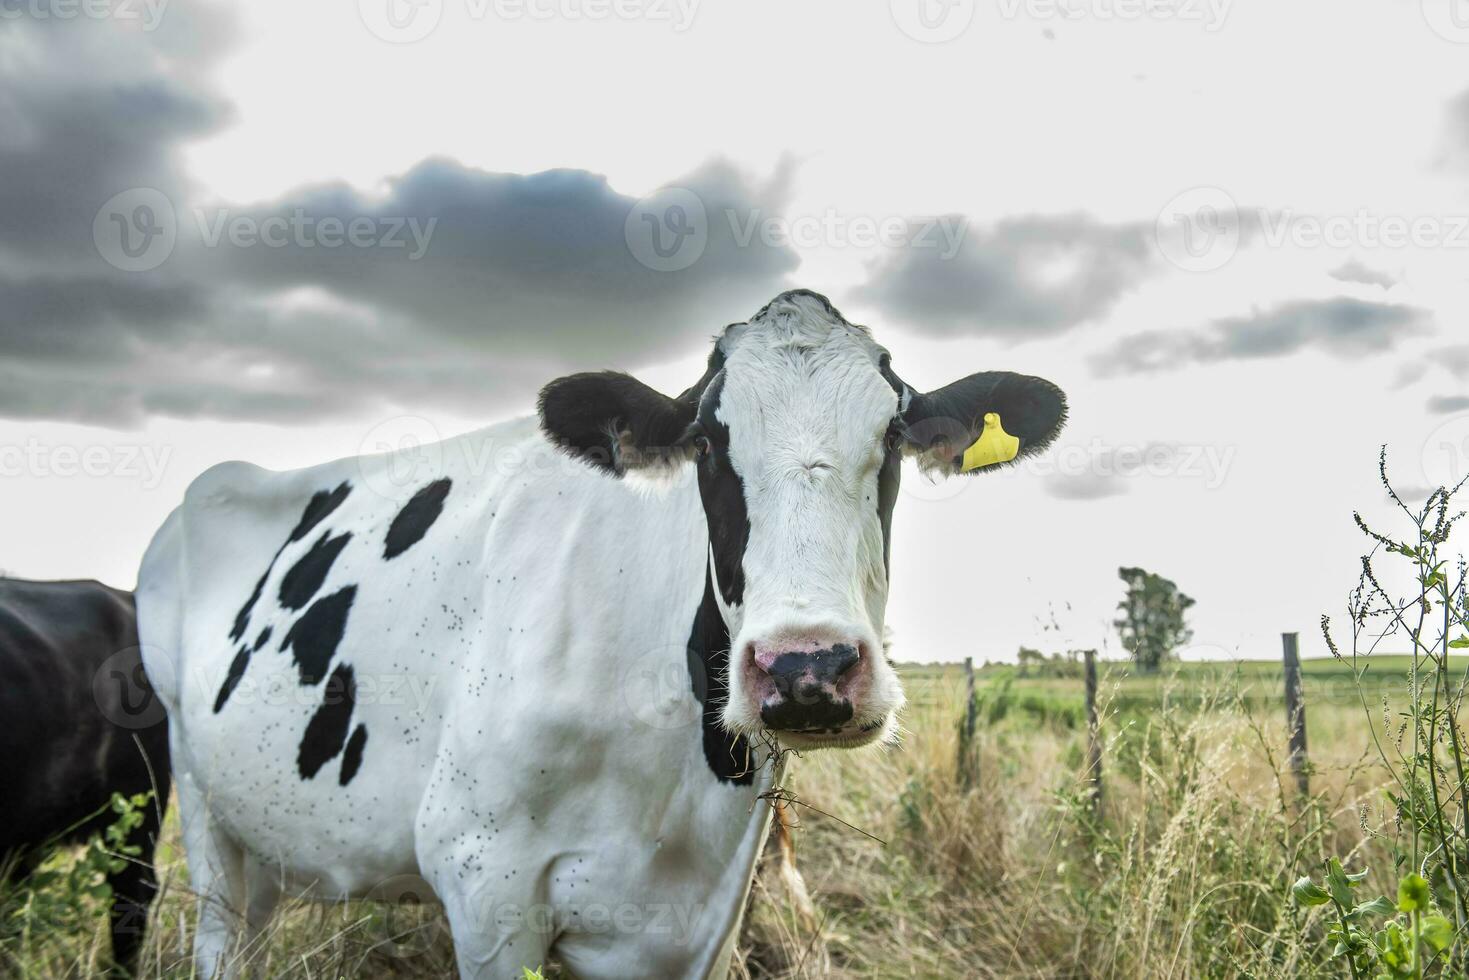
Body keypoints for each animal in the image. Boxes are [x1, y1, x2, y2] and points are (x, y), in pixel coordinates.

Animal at [135, 289, 1067, 978]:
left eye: (893, 435)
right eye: (707, 443)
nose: (807, 668)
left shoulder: (691, 928)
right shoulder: (483, 886)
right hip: (202, 806)